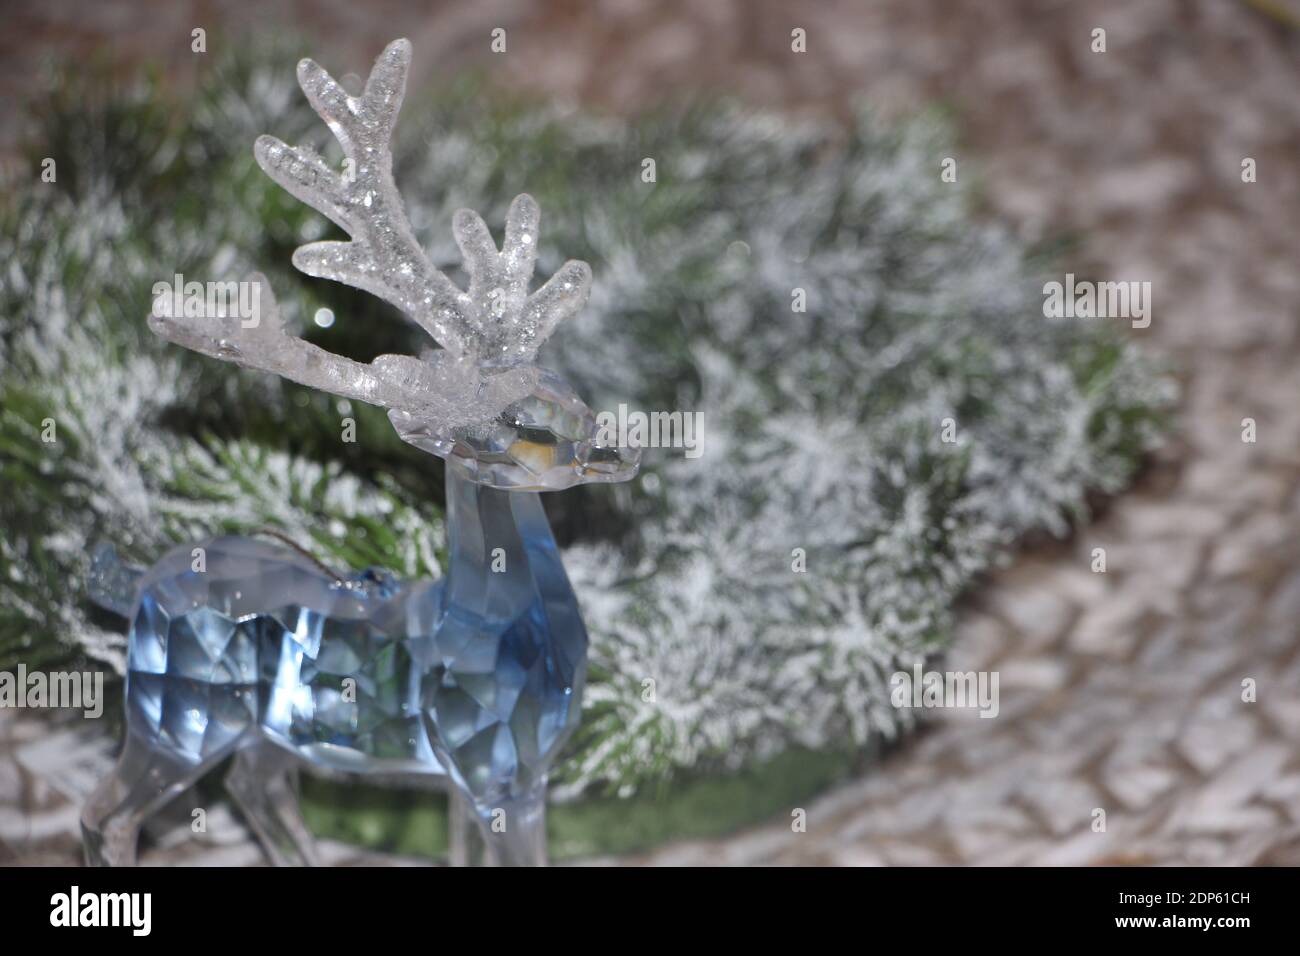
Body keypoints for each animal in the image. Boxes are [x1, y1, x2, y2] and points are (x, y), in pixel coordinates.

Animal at [81, 38, 640, 867]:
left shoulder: (487, 781)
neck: (492, 628)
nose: (617, 449)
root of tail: (136, 587)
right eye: (513, 425)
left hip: (257, 731)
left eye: (562, 383)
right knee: (107, 814)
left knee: (258, 788)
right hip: (178, 714)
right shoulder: (493, 768)